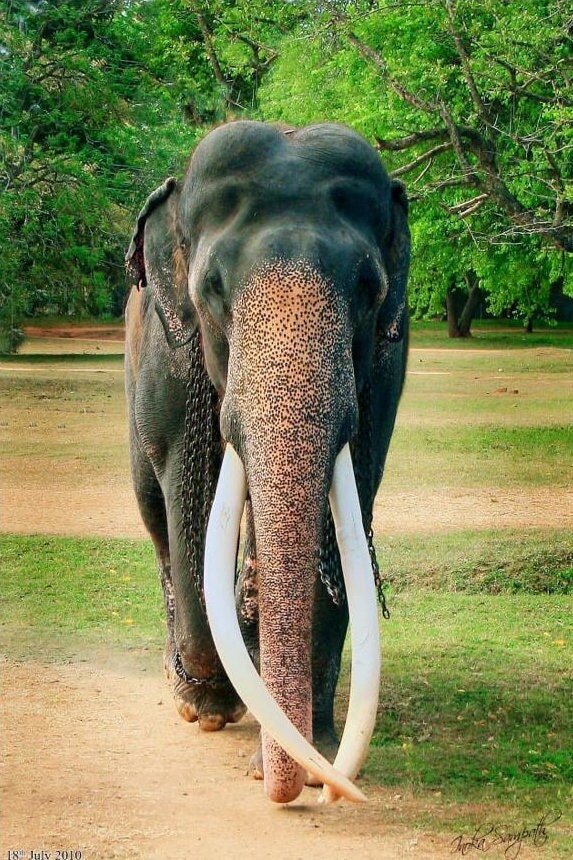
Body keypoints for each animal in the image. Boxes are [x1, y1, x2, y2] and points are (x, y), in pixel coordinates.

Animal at [124, 120, 410, 804]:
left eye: (371, 290)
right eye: (212, 290)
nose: (296, 791)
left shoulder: (386, 368)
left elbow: (349, 506)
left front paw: (313, 751)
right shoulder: (171, 358)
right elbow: (189, 493)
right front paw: (212, 706)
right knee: (157, 517)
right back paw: (197, 688)